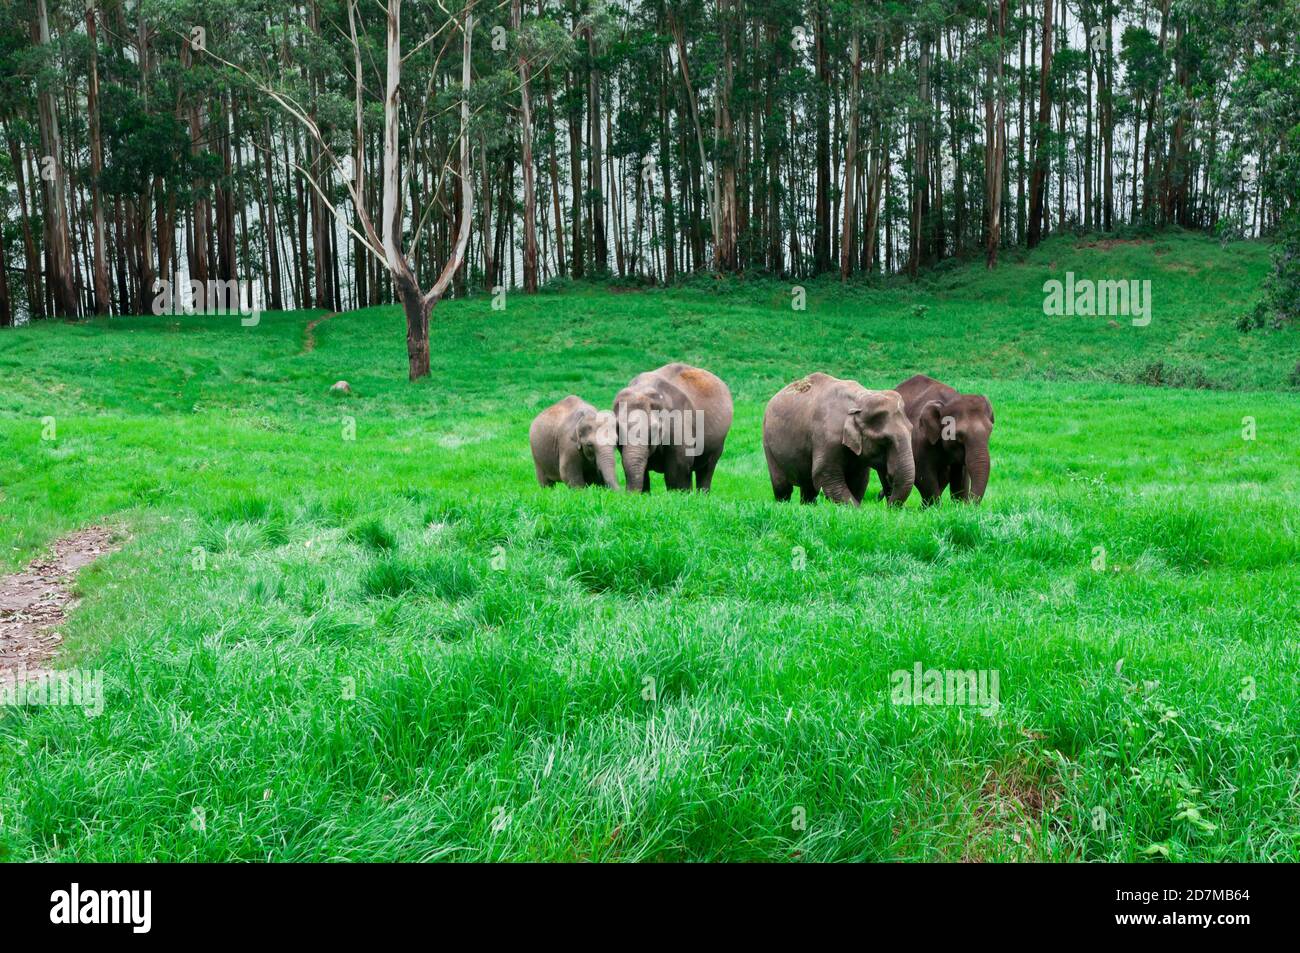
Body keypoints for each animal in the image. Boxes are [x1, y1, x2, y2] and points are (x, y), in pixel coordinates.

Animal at [612, 362, 733, 492]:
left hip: (718, 442)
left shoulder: (679, 421)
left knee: (707, 469)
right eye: (617, 428)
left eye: (654, 429)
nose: (627, 493)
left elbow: (678, 469)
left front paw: (680, 494)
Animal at [762, 373, 916, 506]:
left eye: (911, 431)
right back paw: (783, 504)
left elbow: (859, 480)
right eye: (884, 440)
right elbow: (825, 476)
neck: (860, 399)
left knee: (808, 487)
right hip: (768, 444)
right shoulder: (827, 437)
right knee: (782, 486)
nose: (888, 508)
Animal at [885, 374, 994, 505]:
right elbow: (923, 475)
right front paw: (935, 507)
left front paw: (959, 505)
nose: (970, 504)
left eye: (990, 431)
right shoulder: (919, 439)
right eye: (958, 435)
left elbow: (961, 476)